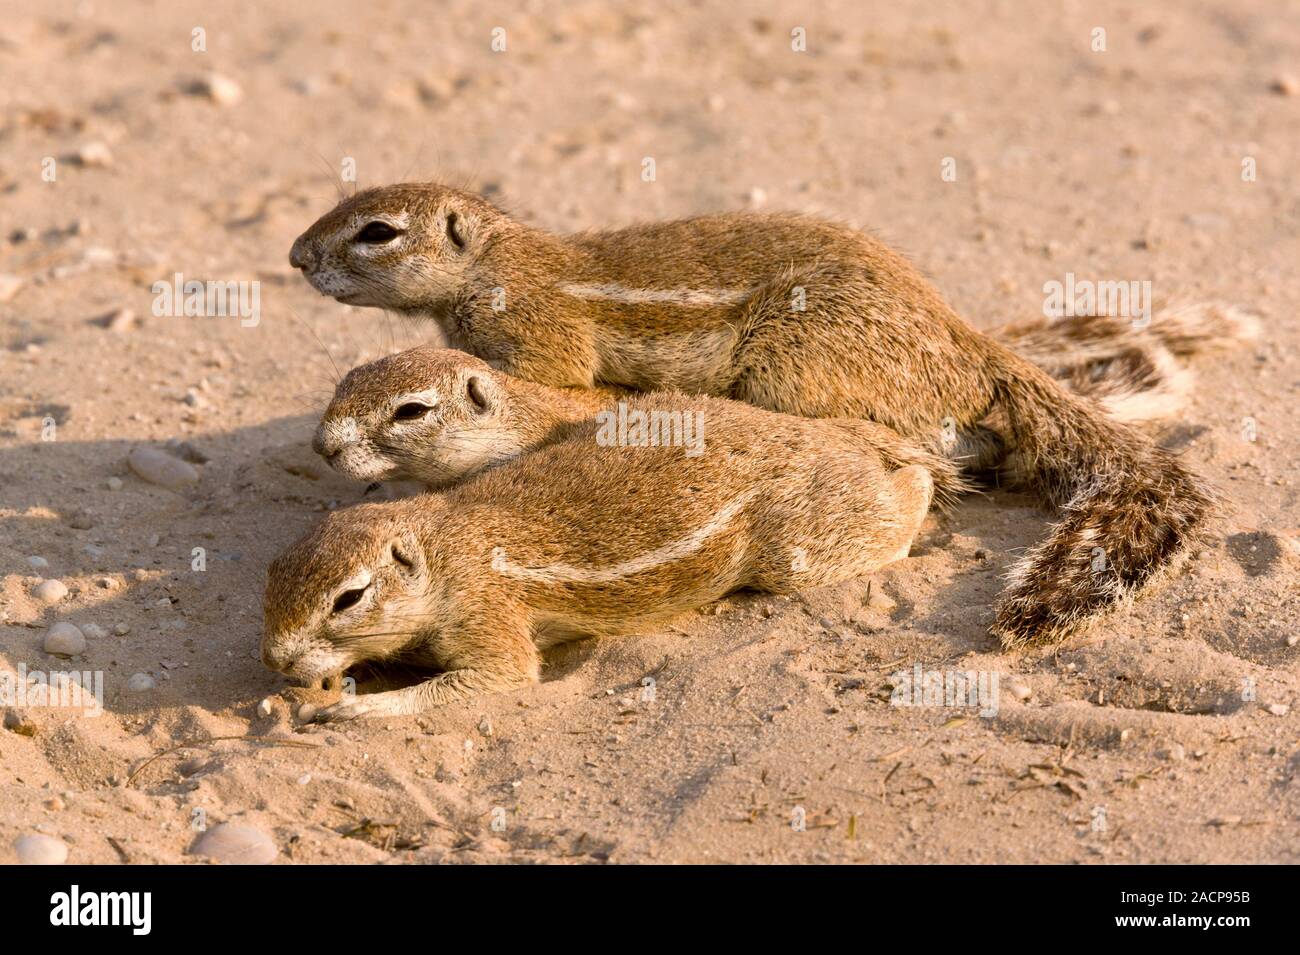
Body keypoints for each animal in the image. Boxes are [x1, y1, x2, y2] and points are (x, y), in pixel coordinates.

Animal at [264, 393, 942, 719]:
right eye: (269, 576)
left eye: (349, 598)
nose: (273, 660)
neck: (441, 546)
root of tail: (827, 432)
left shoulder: (488, 612)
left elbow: (497, 676)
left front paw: (352, 709)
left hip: (798, 550)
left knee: (907, 496)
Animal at [290, 183, 1254, 646]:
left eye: (377, 230)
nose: (296, 255)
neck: (502, 255)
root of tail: (962, 342)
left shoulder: (538, 337)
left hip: (798, 364)